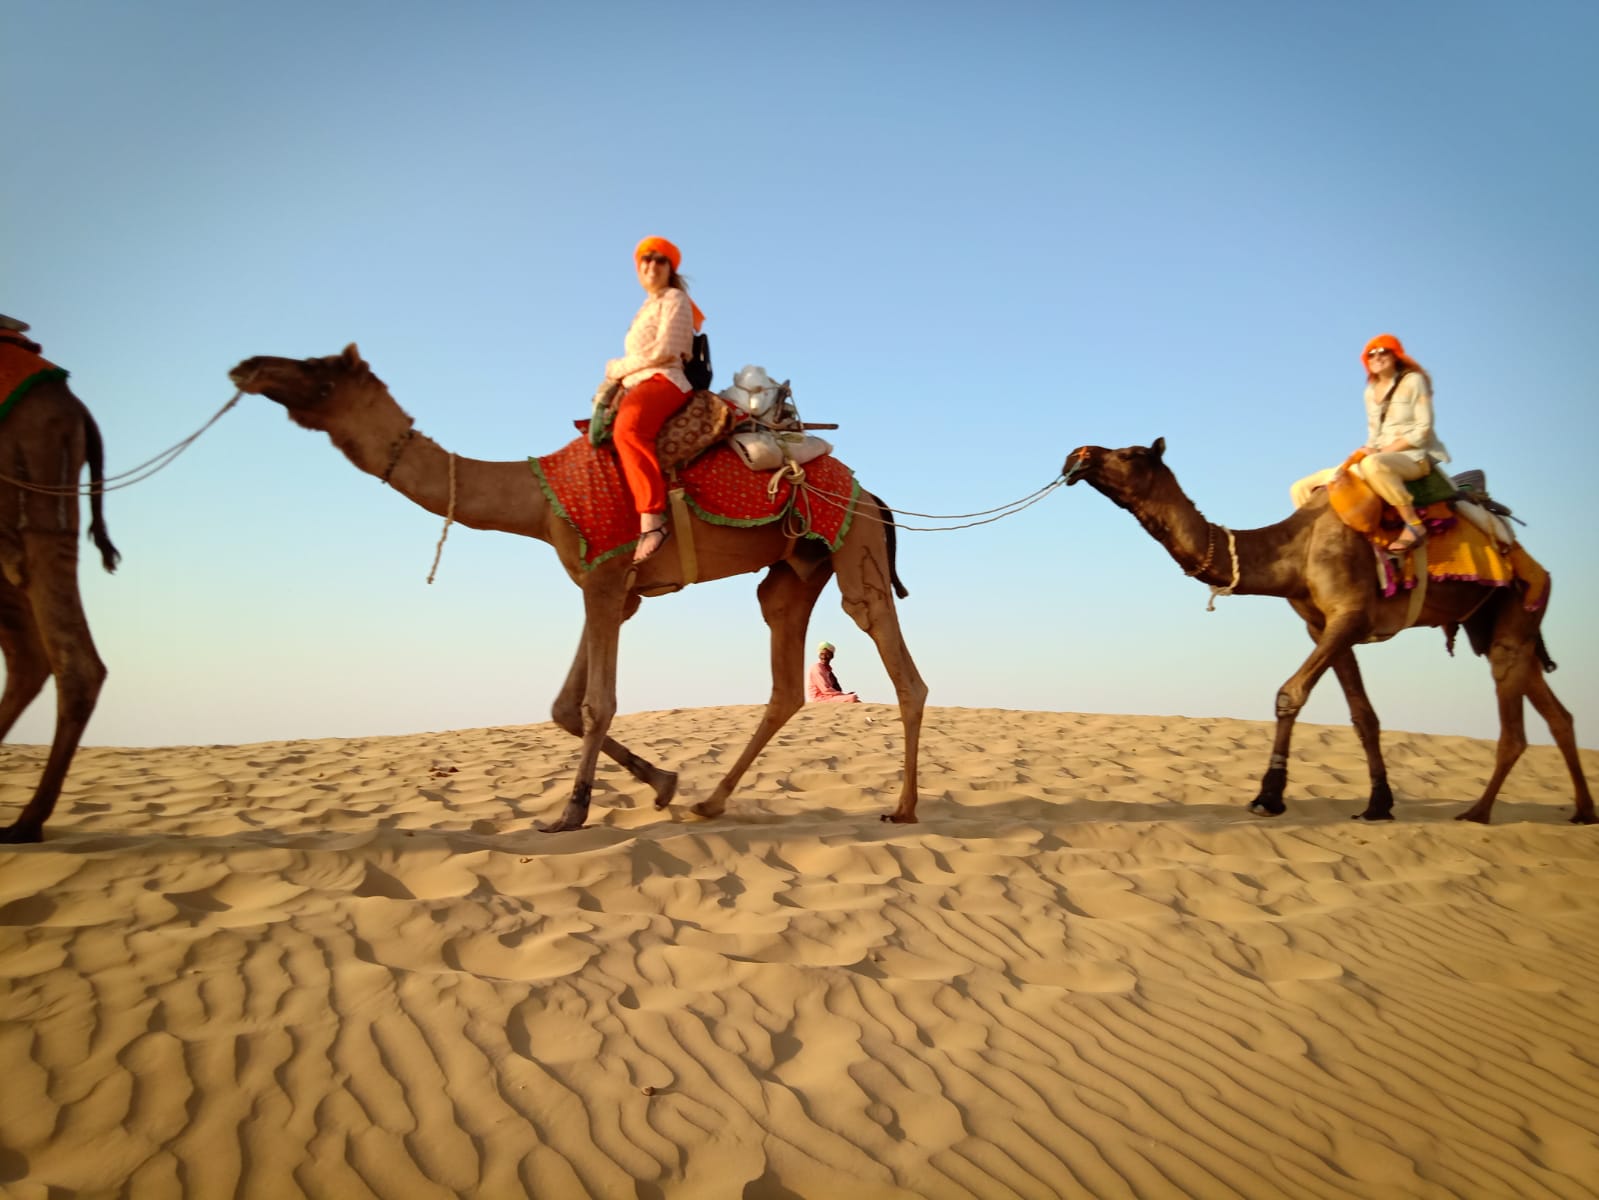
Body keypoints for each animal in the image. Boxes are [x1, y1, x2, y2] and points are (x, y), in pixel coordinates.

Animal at [229, 344, 927, 831]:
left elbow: (596, 704)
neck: (539, 499)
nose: (247, 367)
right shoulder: (611, 589)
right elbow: (565, 707)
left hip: (853, 544)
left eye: (317, 369)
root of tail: (875, 496)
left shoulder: (609, 579)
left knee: (897, 664)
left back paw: (903, 808)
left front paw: (572, 812)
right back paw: (709, 802)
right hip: (796, 569)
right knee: (784, 675)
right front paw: (663, 783)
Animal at [1064, 439, 1593, 825]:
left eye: (1130, 454)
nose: (1078, 453)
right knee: (1558, 714)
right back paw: (1584, 811)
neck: (1295, 550)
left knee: (1515, 725)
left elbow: (1289, 694)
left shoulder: (1349, 614)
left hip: (1516, 610)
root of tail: (1527, 555)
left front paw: (1269, 795)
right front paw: (1378, 804)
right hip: (1492, 623)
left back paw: (1479, 812)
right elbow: (1363, 716)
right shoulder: (1323, 626)